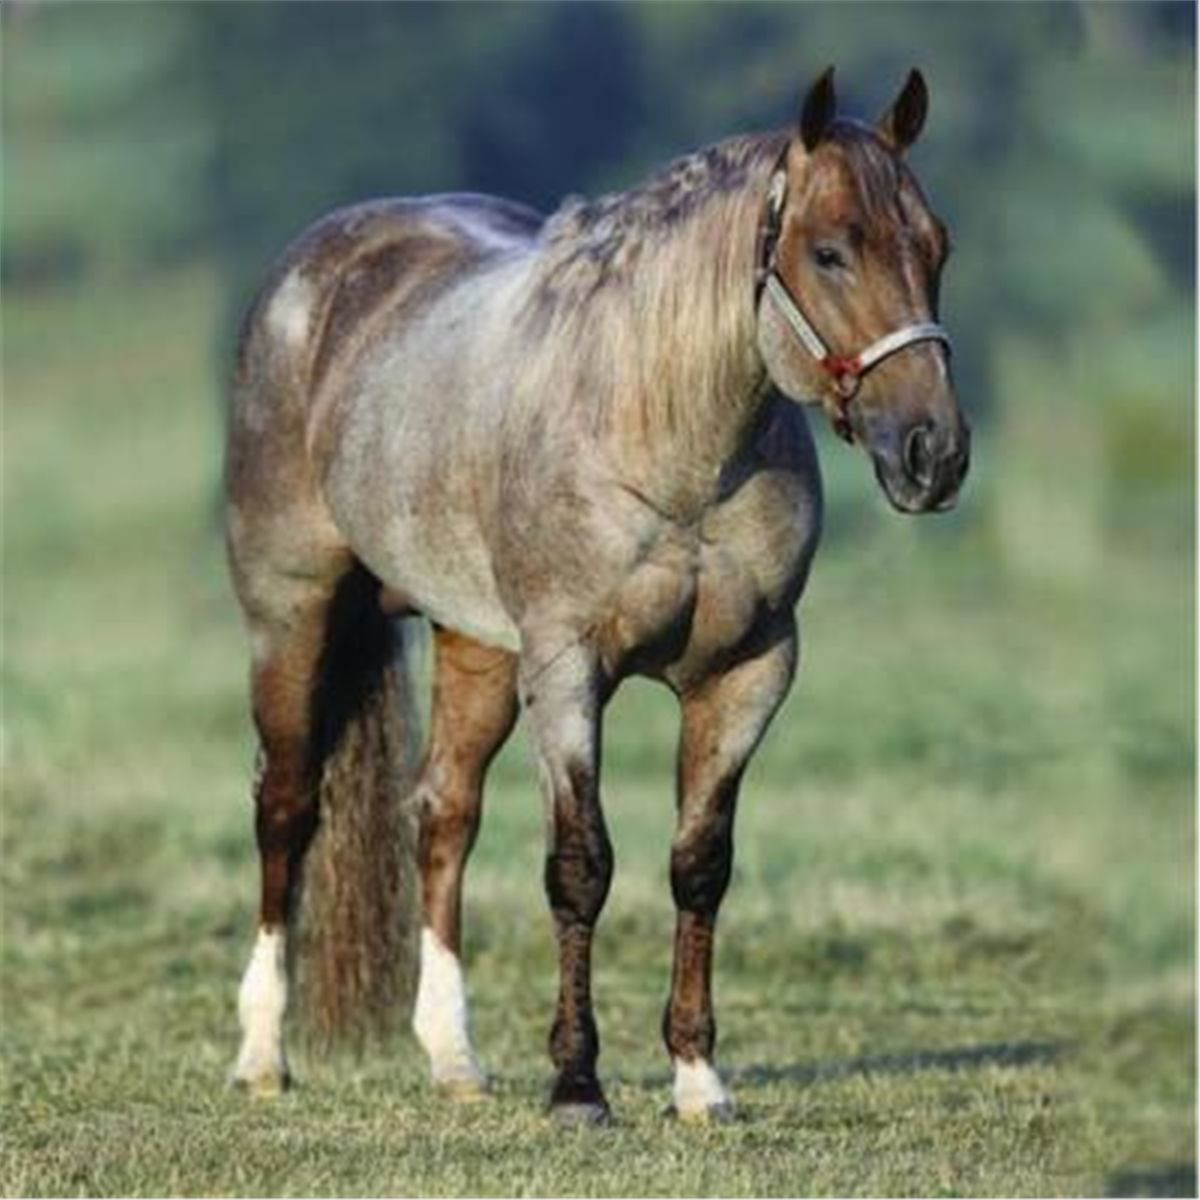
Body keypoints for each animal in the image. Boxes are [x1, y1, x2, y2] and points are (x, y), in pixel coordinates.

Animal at [224, 66, 969, 1124]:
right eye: (829, 251)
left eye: (935, 244)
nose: (933, 453)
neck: (665, 430)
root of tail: (319, 268)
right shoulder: (571, 670)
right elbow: (582, 867)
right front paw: (577, 1084)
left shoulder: (748, 675)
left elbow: (700, 866)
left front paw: (698, 1080)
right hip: (292, 615)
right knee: (286, 807)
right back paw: (261, 1054)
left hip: (478, 647)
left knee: (443, 814)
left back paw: (454, 1059)